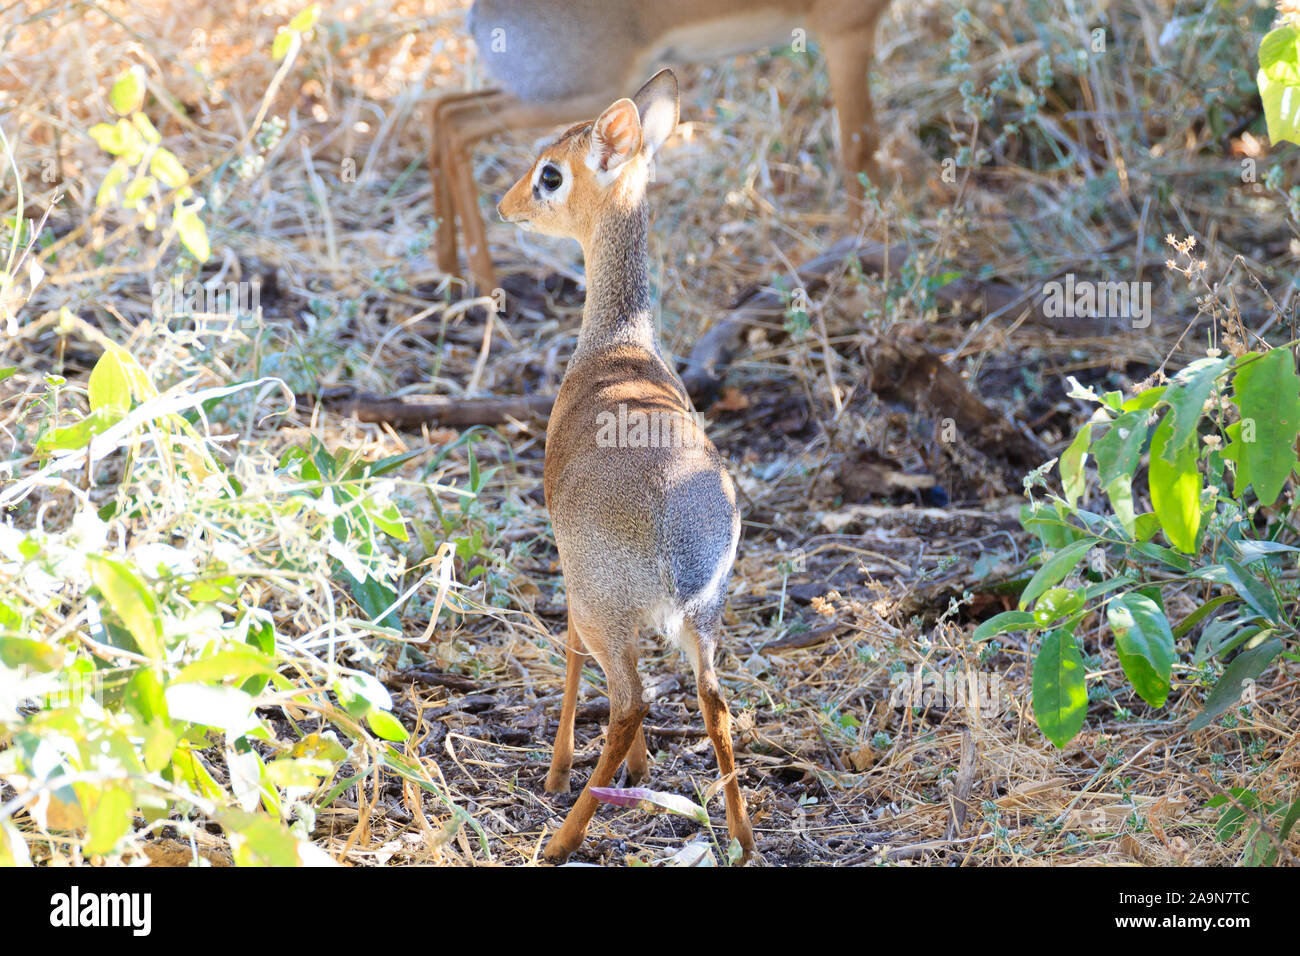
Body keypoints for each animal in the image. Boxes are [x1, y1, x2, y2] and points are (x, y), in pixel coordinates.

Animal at [432, 0, 893, 288]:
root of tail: (479, 15)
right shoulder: (846, 29)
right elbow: (859, 143)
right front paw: (863, 252)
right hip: (575, 92)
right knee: (454, 122)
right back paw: (486, 285)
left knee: (441, 109)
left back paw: (450, 272)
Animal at [497, 70, 753, 862]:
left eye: (551, 173)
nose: (508, 205)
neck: (617, 347)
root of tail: (683, 548)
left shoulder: (571, 574)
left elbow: (570, 655)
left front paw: (556, 770)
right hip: (705, 622)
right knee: (713, 698)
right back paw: (743, 838)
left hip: (603, 603)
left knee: (629, 699)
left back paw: (562, 834)